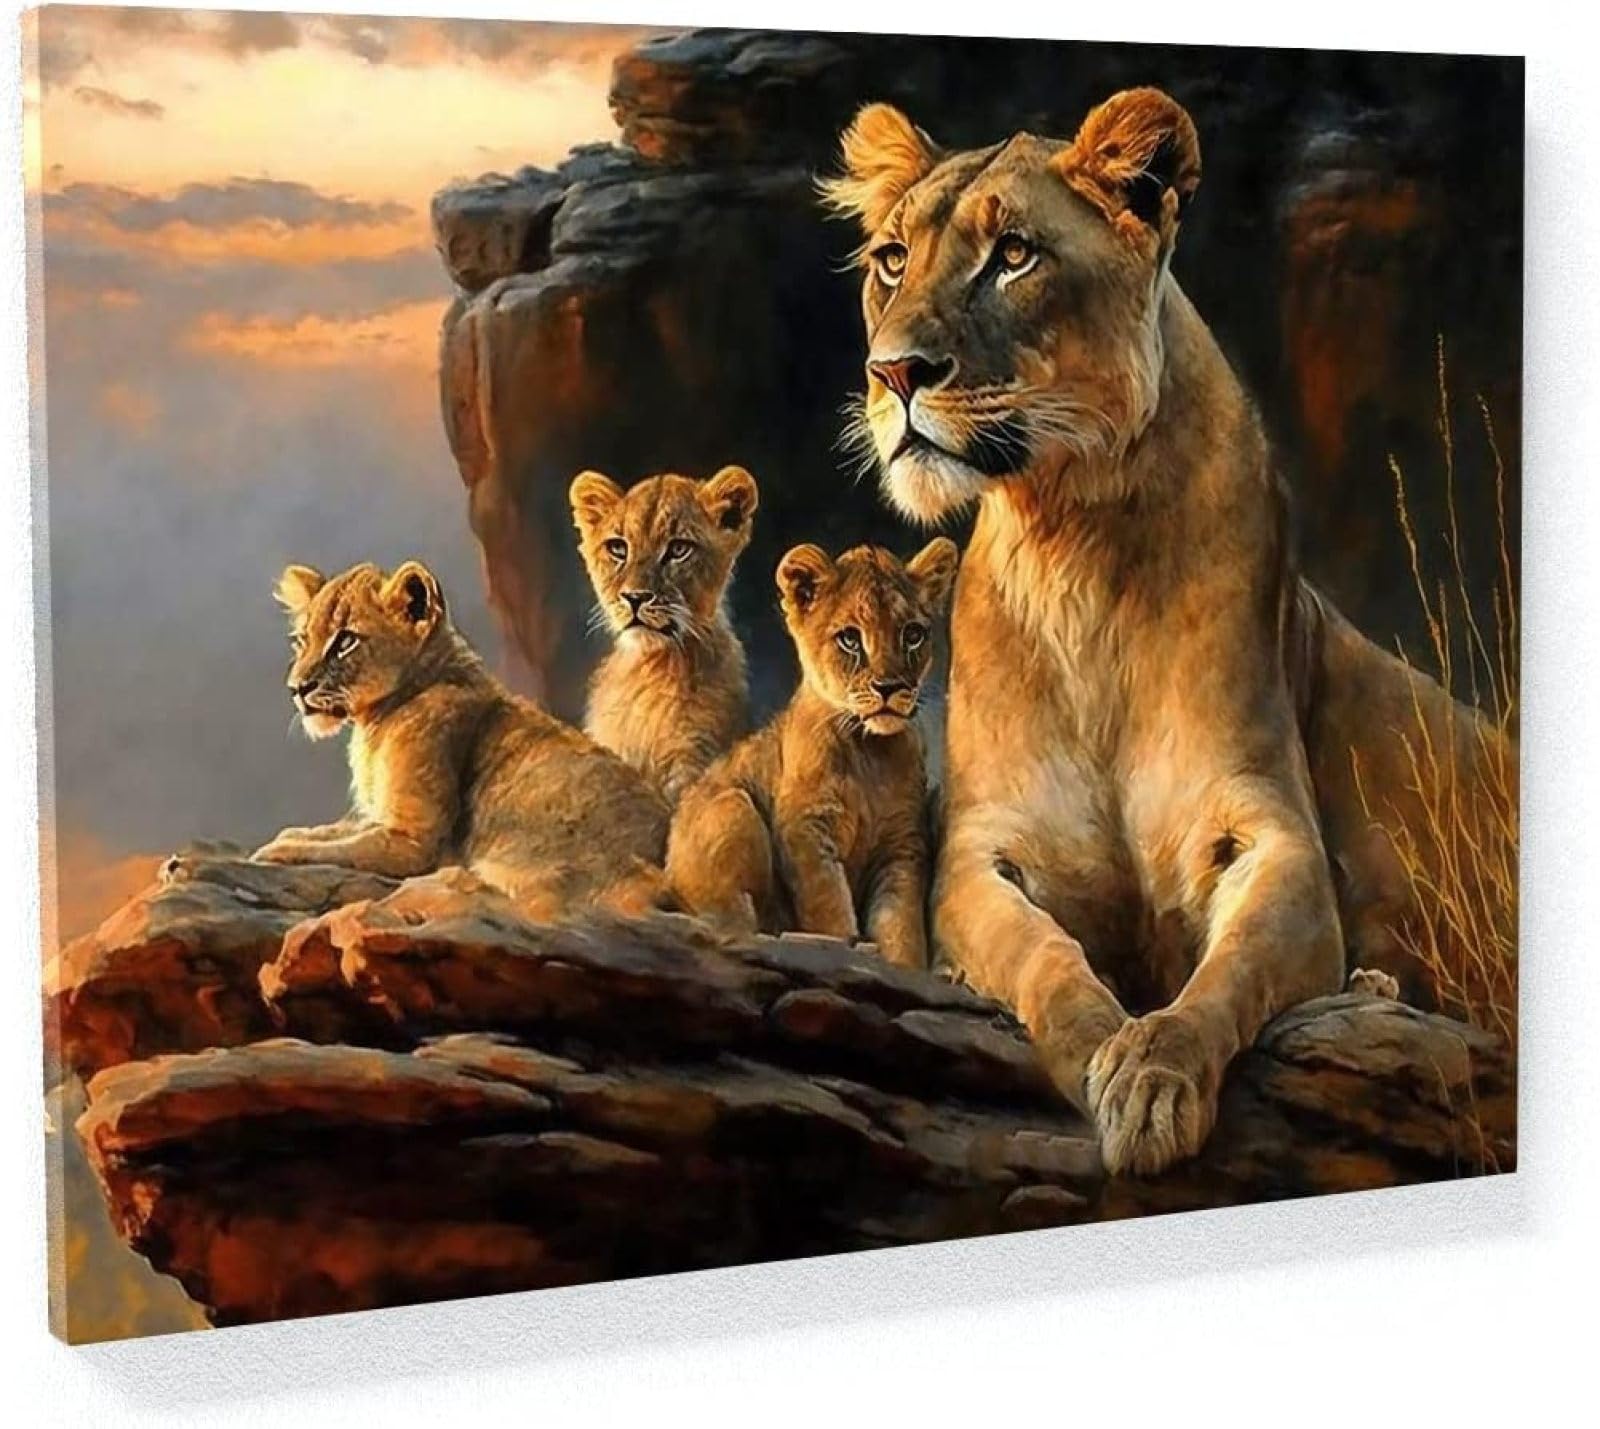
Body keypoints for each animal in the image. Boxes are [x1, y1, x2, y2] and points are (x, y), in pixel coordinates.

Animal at [253, 559, 672, 918]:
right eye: (301, 640)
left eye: (345, 641)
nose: (296, 688)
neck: (373, 722)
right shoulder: (383, 818)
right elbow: (341, 830)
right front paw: (294, 834)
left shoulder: (414, 842)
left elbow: (346, 848)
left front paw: (278, 851)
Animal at [666, 538, 958, 968]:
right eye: (850, 639)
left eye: (913, 635)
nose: (889, 687)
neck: (869, 751)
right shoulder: (805, 829)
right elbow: (830, 908)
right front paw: (845, 949)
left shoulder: (902, 844)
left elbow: (901, 923)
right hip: (732, 807)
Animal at [823, 88, 1515, 1174]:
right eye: (892, 259)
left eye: (1013, 255)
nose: (892, 371)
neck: (1076, 539)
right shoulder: (979, 852)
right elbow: (1044, 959)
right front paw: (1101, 1051)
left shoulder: (1271, 834)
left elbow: (1225, 976)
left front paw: (1153, 1077)